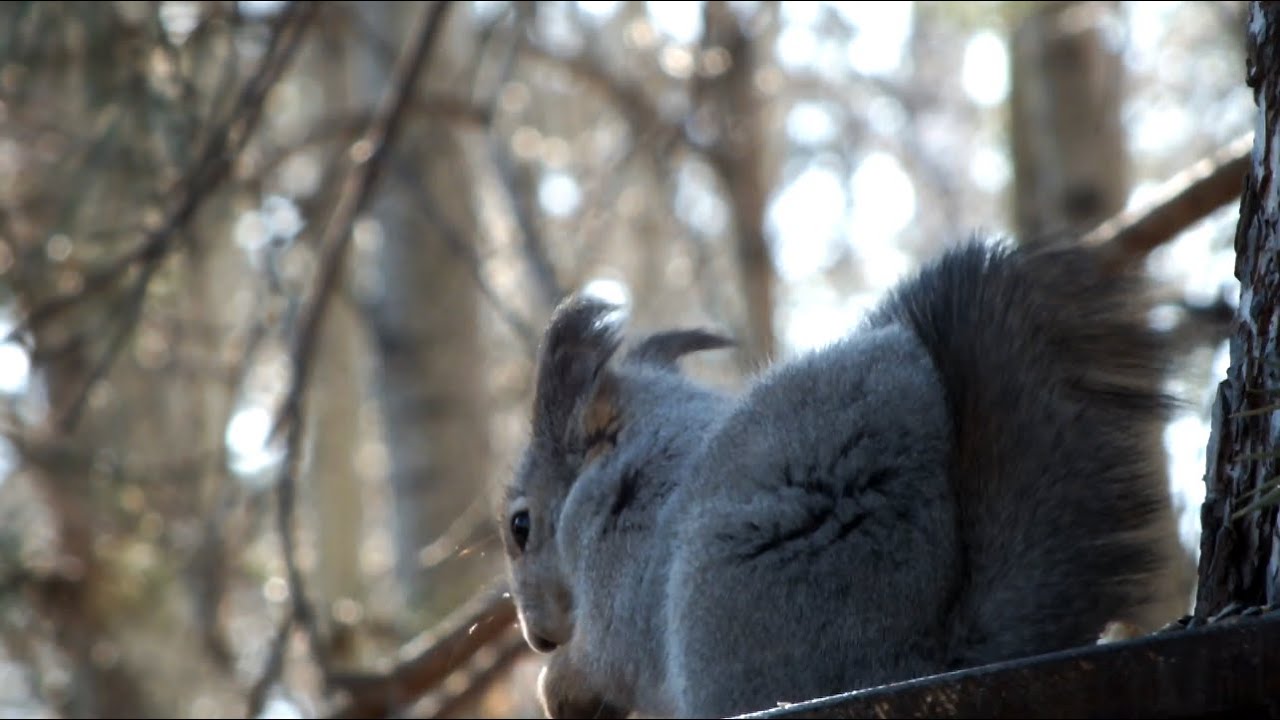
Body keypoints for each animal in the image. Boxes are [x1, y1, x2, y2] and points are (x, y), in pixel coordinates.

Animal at [498, 237, 1189, 719]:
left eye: (520, 526)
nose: (537, 638)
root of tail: (922, 660)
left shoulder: (621, 563)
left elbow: (606, 658)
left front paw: (556, 685)